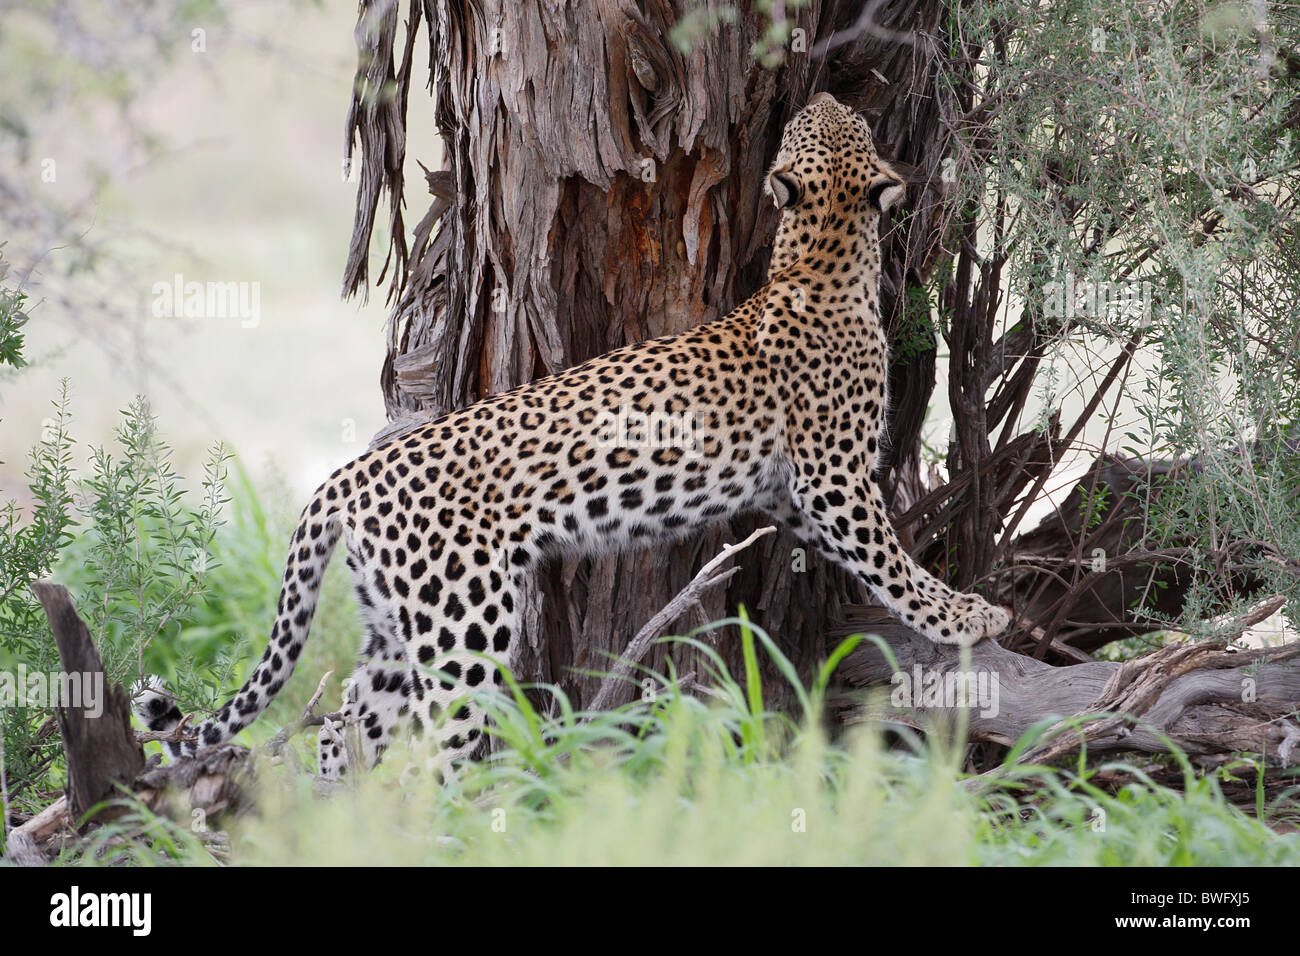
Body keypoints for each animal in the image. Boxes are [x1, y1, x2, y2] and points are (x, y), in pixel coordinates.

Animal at [137, 91, 1010, 780]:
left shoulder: (793, 492)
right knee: (433, 745)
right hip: (463, 625)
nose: (825, 90)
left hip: (394, 622)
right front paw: (964, 618)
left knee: (347, 725)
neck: (819, 260)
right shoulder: (833, 480)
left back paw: (337, 819)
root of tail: (346, 478)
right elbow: (893, 562)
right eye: (829, 119)